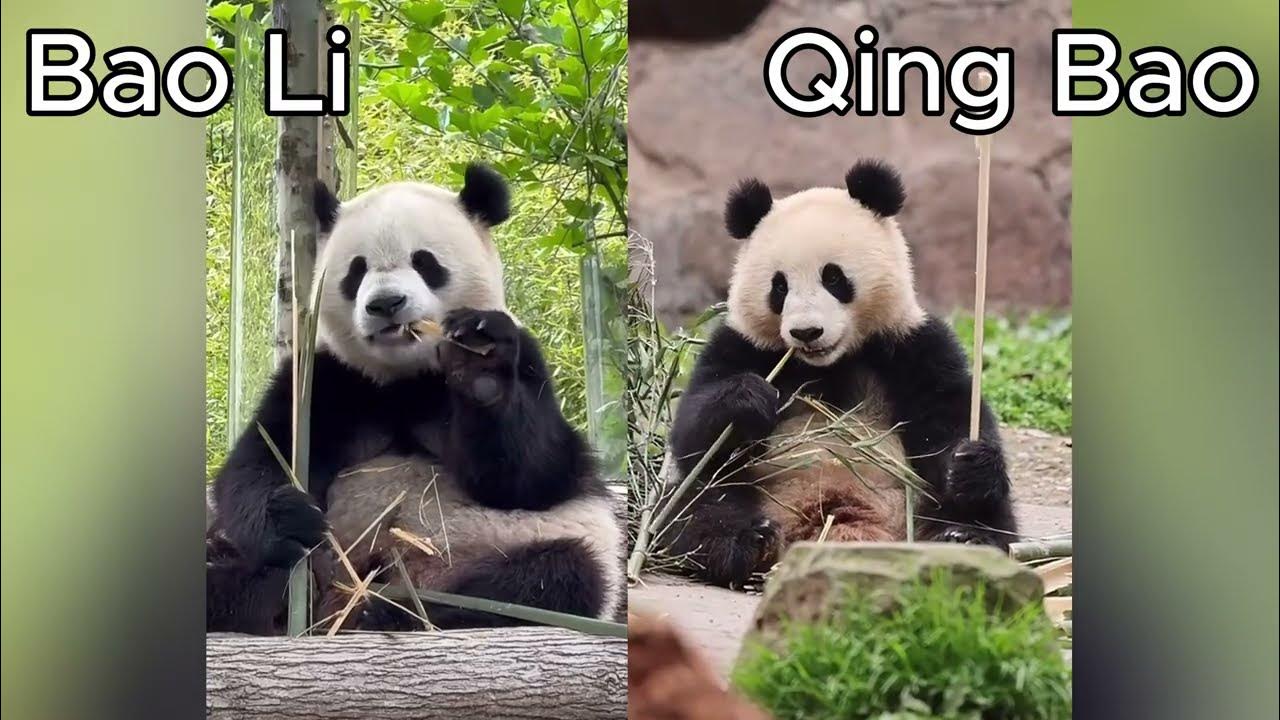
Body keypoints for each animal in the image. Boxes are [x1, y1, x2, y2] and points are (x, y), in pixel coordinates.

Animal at [206, 164, 623, 633]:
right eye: (356, 271)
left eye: (424, 262)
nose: (386, 303)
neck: (406, 378)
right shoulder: (330, 378)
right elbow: (261, 458)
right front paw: (289, 521)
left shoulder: (527, 361)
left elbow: (532, 475)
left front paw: (481, 369)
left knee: (554, 578)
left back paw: (394, 611)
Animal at [660, 159, 1018, 589]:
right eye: (779, 287)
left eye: (833, 277)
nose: (806, 332)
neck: (831, 362)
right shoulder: (742, 346)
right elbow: (695, 435)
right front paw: (746, 400)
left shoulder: (911, 345)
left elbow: (948, 413)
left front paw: (969, 463)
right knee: (694, 506)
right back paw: (745, 542)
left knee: (985, 513)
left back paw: (961, 540)